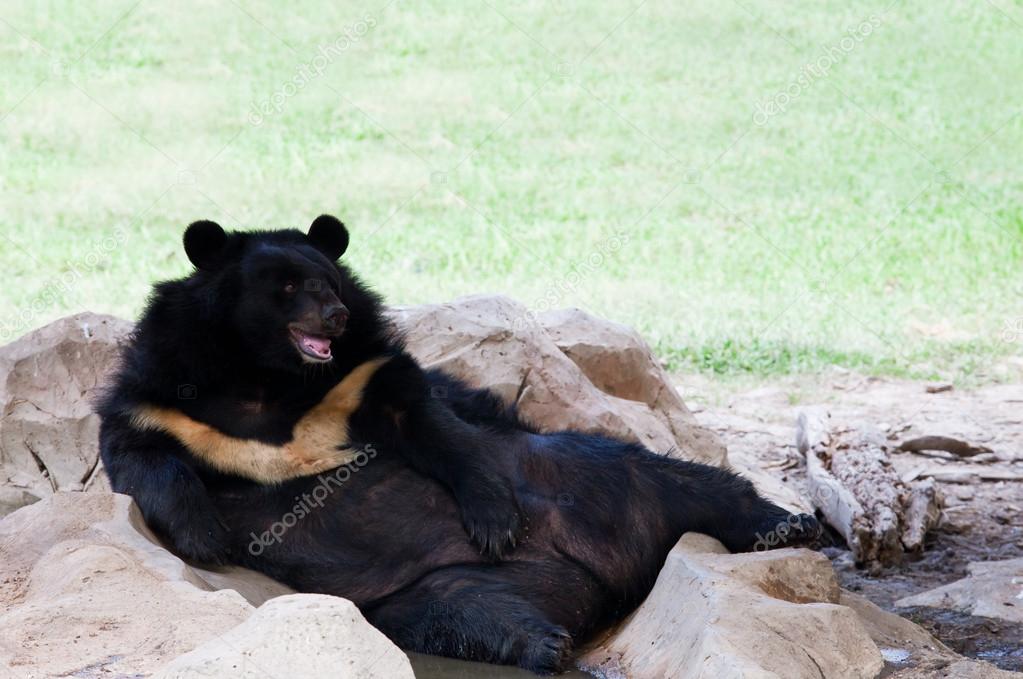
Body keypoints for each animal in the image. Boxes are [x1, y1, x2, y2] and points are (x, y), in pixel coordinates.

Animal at [98, 216, 820, 675]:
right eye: (285, 288)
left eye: (329, 282)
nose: (333, 315)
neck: (268, 376)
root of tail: (595, 573)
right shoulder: (170, 395)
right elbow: (143, 454)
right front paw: (206, 538)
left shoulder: (362, 375)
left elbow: (432, 421)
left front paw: (495, 520)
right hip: (429, 586)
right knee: (471, 614)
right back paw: (545, 644)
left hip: (583, 470)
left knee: (688, 485)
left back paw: (789, 525)